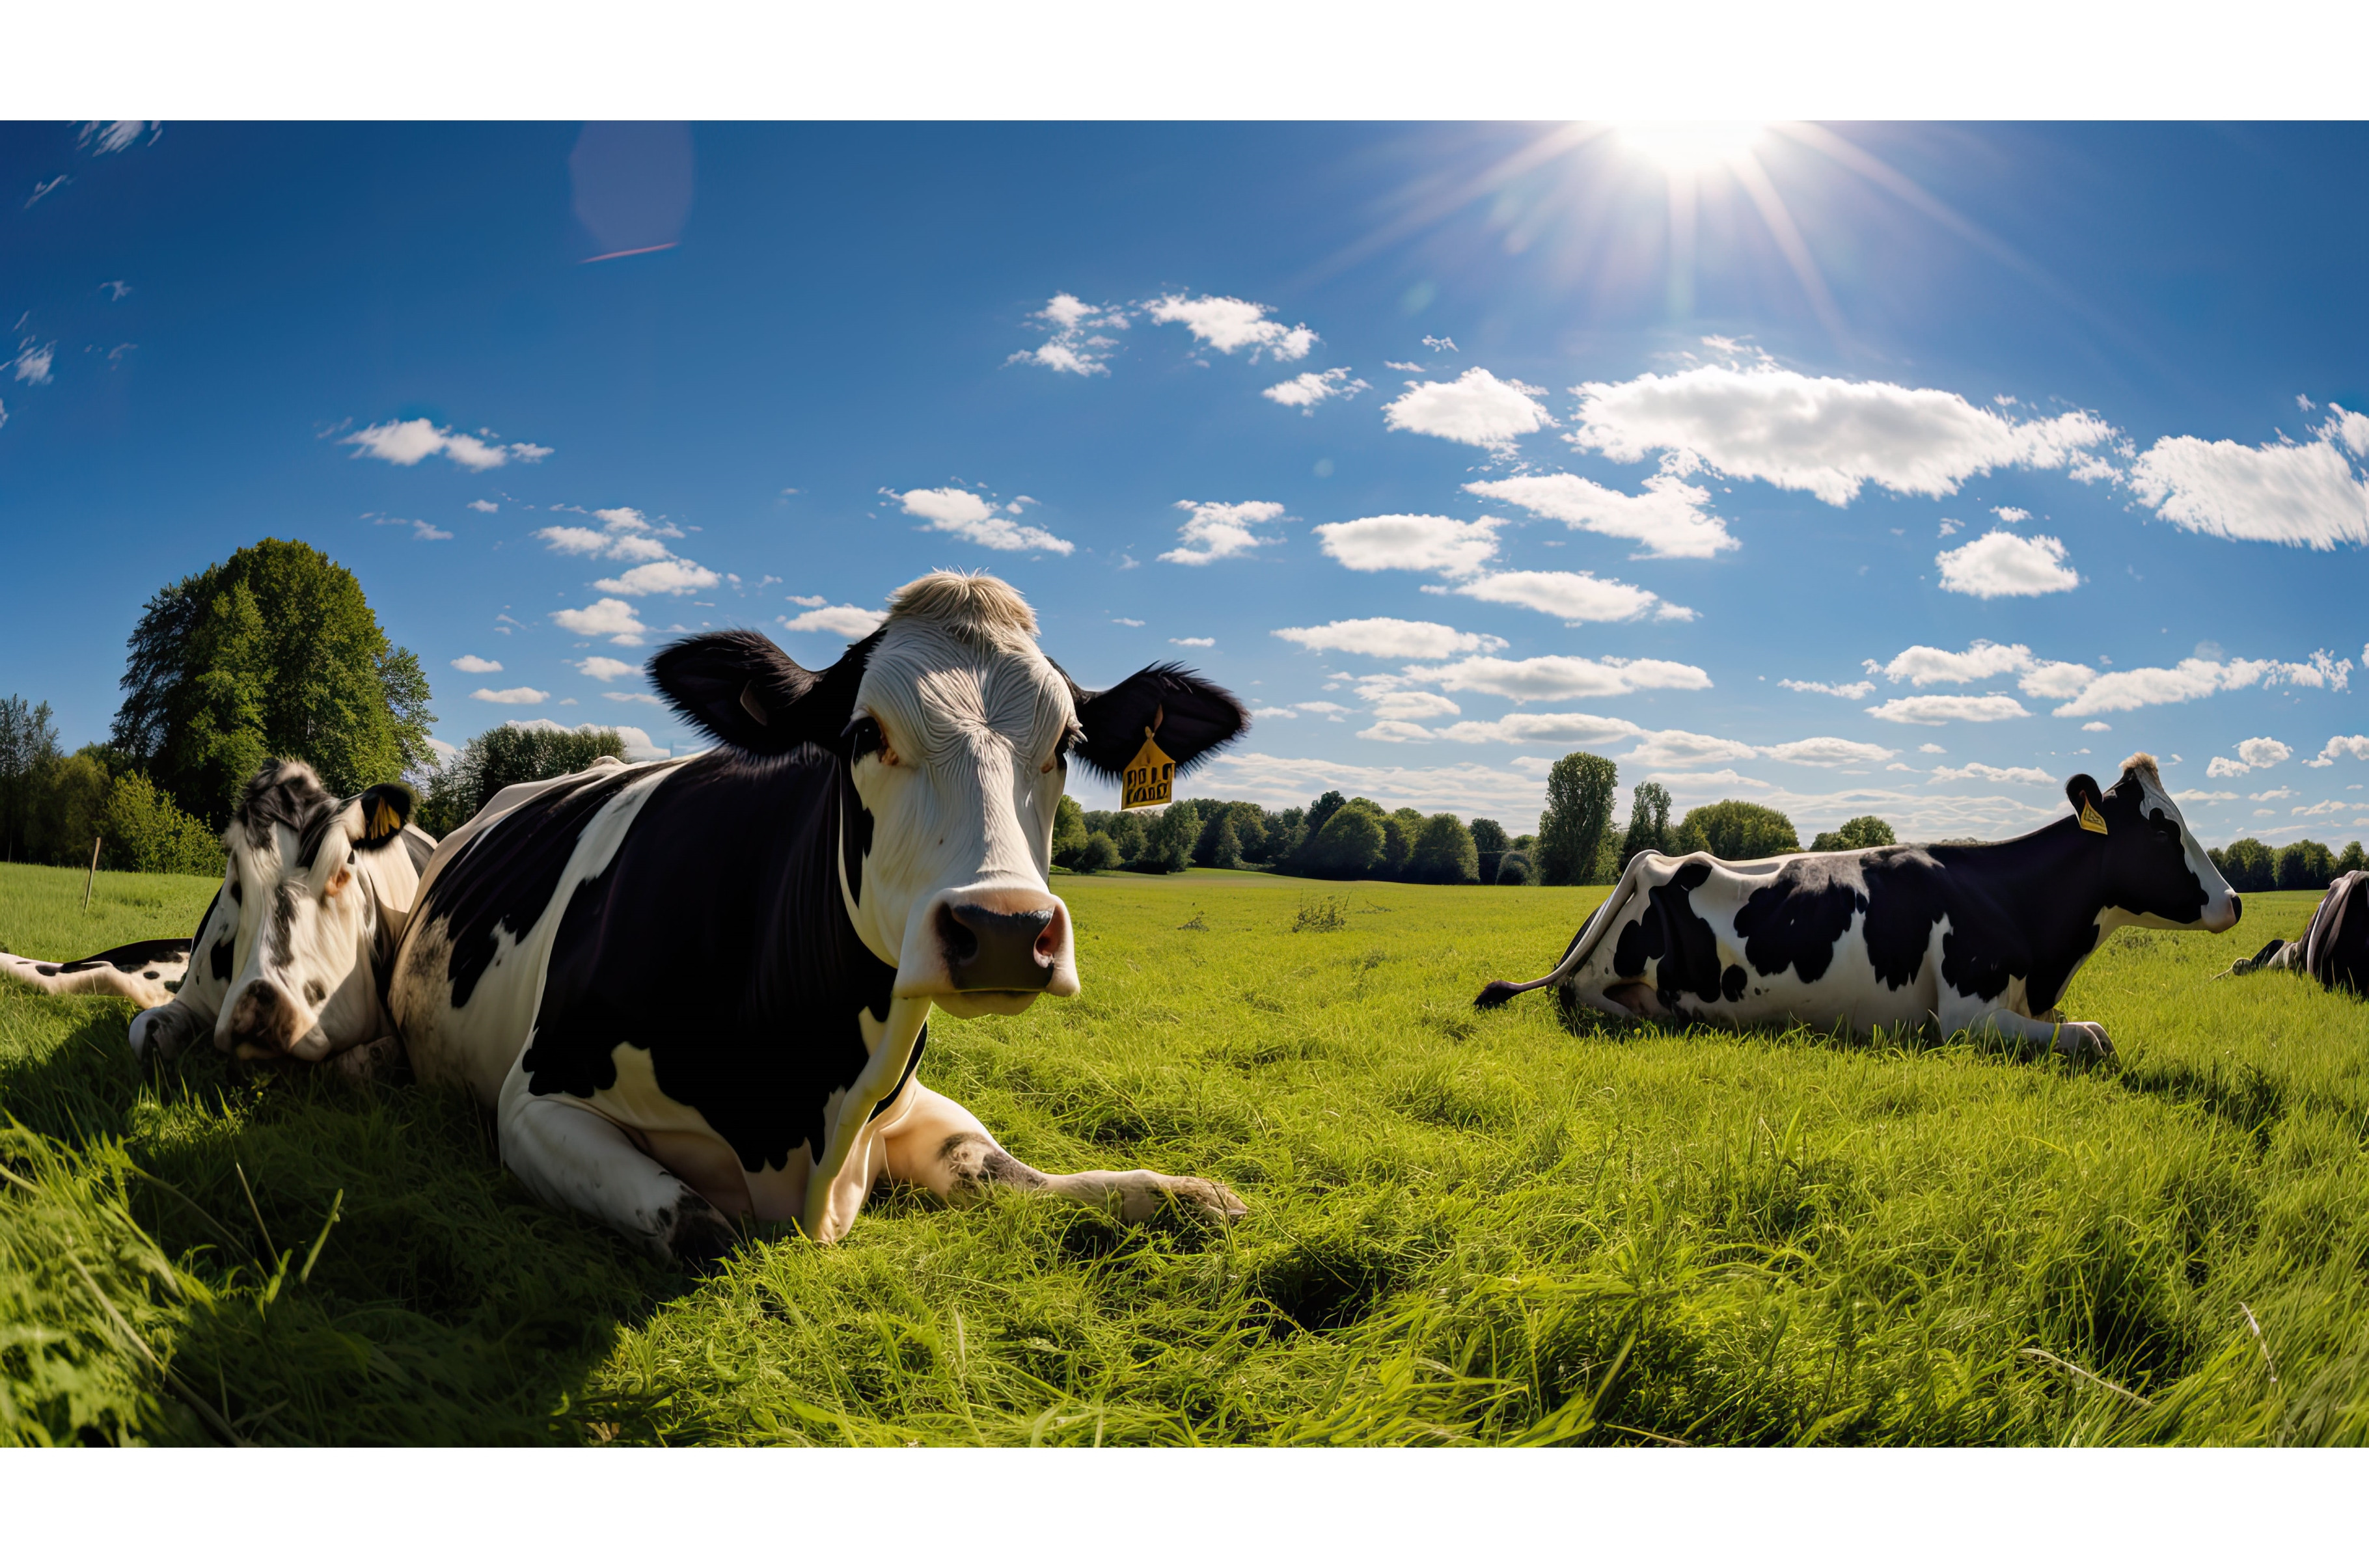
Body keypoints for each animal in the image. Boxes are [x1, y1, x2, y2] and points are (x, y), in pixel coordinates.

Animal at [122, 760, 433, 1078]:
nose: (257, 1005)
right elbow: (143, 1031)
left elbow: (356, 1064)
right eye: (236, 875)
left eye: (346, 862)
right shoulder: (191, 998)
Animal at [386, 571, 1251, 1265]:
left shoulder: (903, 1108)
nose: (1006, 930)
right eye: (864, 733)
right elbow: (704, 1233)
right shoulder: (533, 1102)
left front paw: (1188, 1195)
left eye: (1066, 743)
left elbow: (1003, 1168)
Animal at [1474, 754, 2242, 1061]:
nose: (2234, 900)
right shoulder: (1964, 1018)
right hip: (1605, 988)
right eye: (2162, 829)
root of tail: (1653, 859)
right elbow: (2095, 1035)